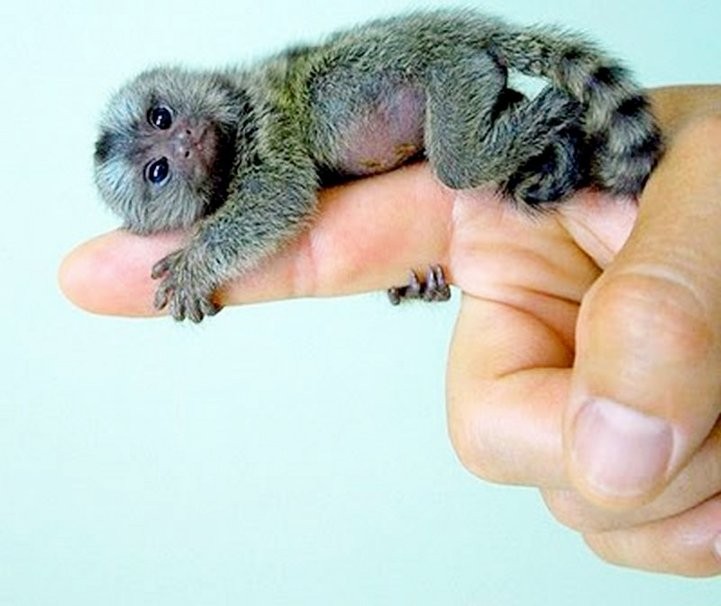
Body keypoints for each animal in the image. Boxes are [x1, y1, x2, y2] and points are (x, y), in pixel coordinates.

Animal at [93, 9, 663, 322]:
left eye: (161, 116)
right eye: (158, 172)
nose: (186, 139)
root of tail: (468, 28)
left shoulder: (263, 117)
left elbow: (280, 193)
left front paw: (194, 262)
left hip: (450, 67)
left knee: (458, 164)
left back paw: (551, 108)